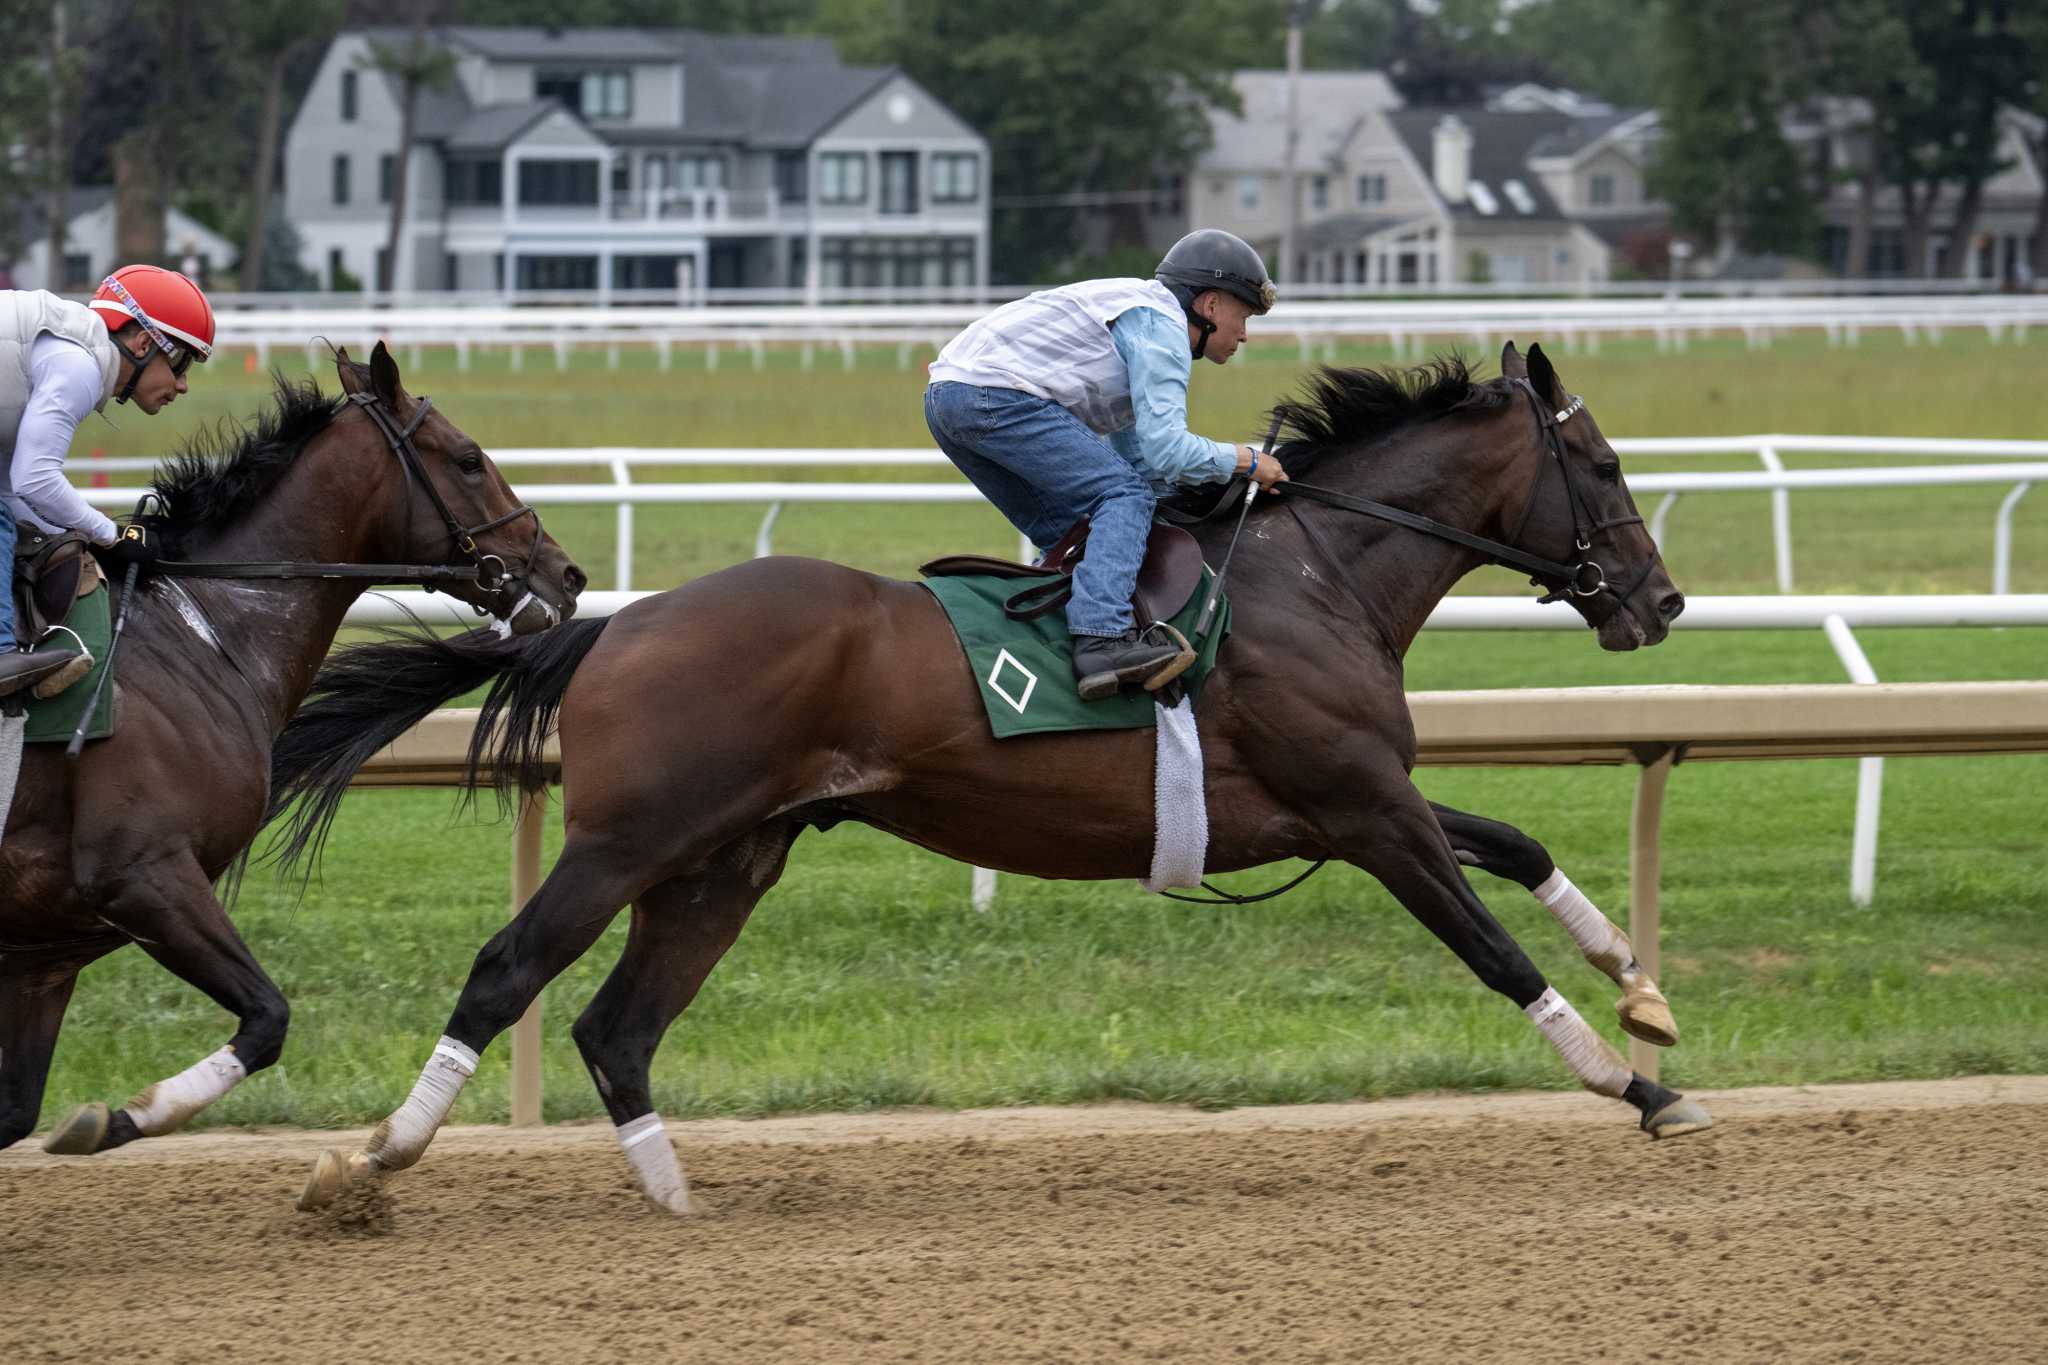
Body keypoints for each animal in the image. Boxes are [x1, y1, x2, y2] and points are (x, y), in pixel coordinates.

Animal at [0, 343, 585, 1156]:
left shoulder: (42, 951)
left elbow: (14, 1112)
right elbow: (268, 1017)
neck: (200, 628)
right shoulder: (139, 874)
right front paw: (124, 1115)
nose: (566, 574)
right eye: (469, 459)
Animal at [278, 342, 1702, 1216]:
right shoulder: (1364, 811)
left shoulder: (1354, 804)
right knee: (510, 972)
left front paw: (1640, 987)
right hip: (630, 842)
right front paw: (1635, 1087)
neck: (1311, 576)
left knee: (616, 1028)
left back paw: (674, 1195)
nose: (1662, 602)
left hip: (725, 859)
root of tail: (609, 625)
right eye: (1606, 466)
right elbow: (1489, 950)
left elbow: (1514, 843)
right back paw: (373, 1160)